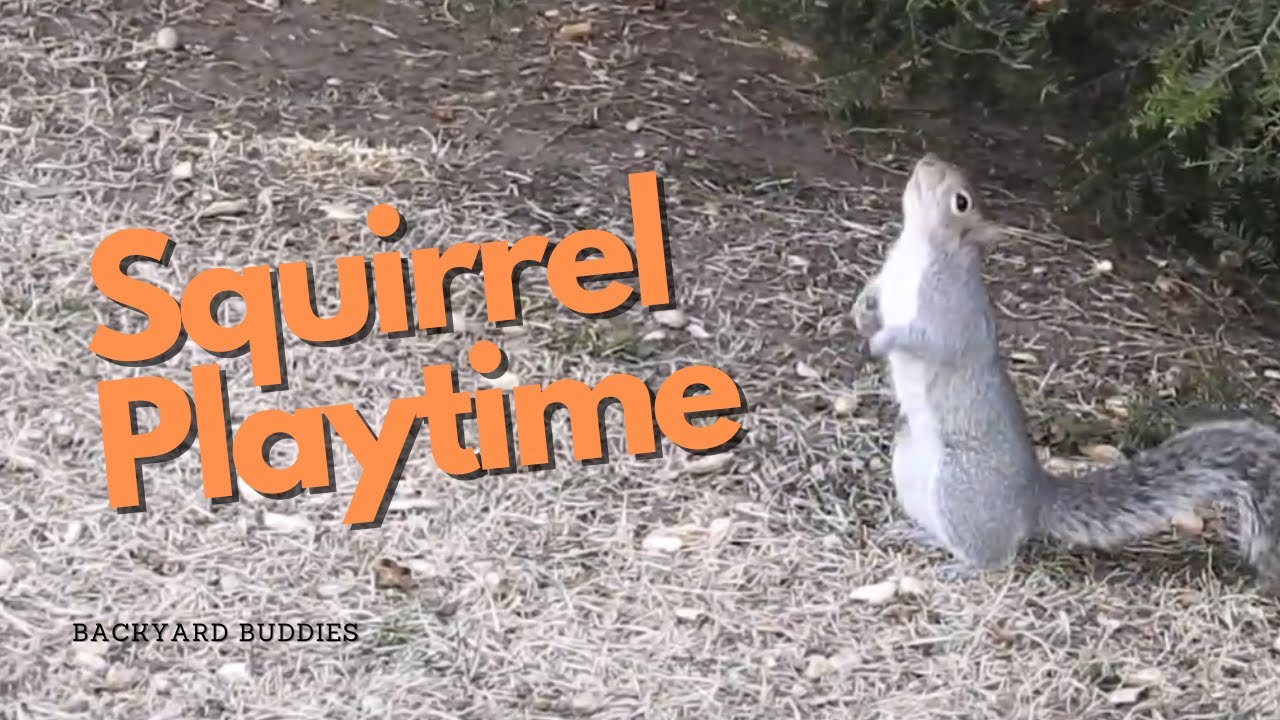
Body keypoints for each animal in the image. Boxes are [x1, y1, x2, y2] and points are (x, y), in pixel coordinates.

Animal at [852, 152, 1280, 594]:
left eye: (961, 202)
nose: (929, 160)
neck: (917, 248)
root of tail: (1033, 500)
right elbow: (870, 306)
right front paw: (862, 314)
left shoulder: (952, 315)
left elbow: (929, 341)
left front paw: (882, 341)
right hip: (909, 464)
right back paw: (919, 534)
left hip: (961, 485)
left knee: (996, 556)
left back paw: (967, 567)